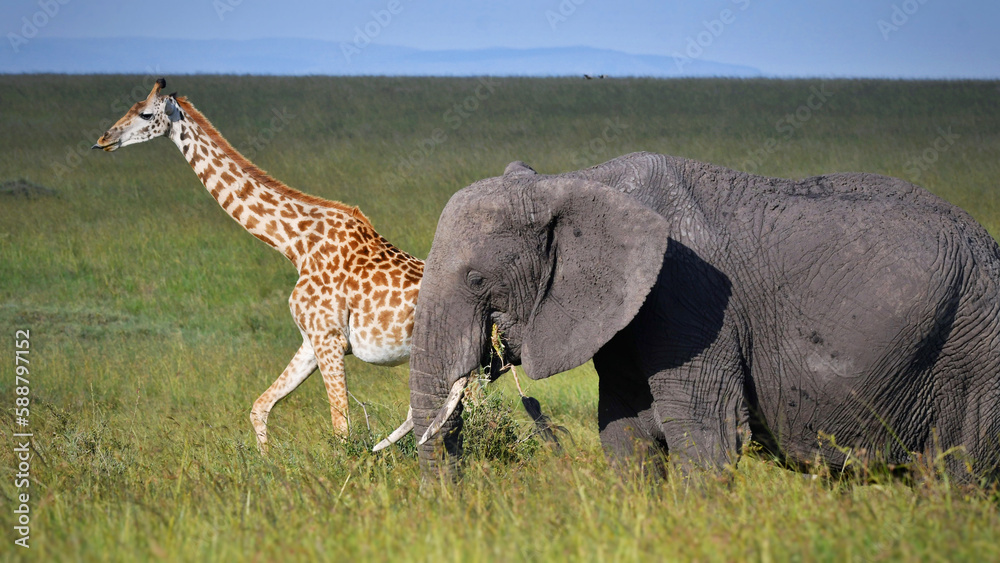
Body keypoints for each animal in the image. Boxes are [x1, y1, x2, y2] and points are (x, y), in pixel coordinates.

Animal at [406, 152, 1000, 481]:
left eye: (476, 281)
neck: (576, 182)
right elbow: (624, 433)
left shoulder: (693, 302)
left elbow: (705, 434)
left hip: (975, 349)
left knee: (961, 473)